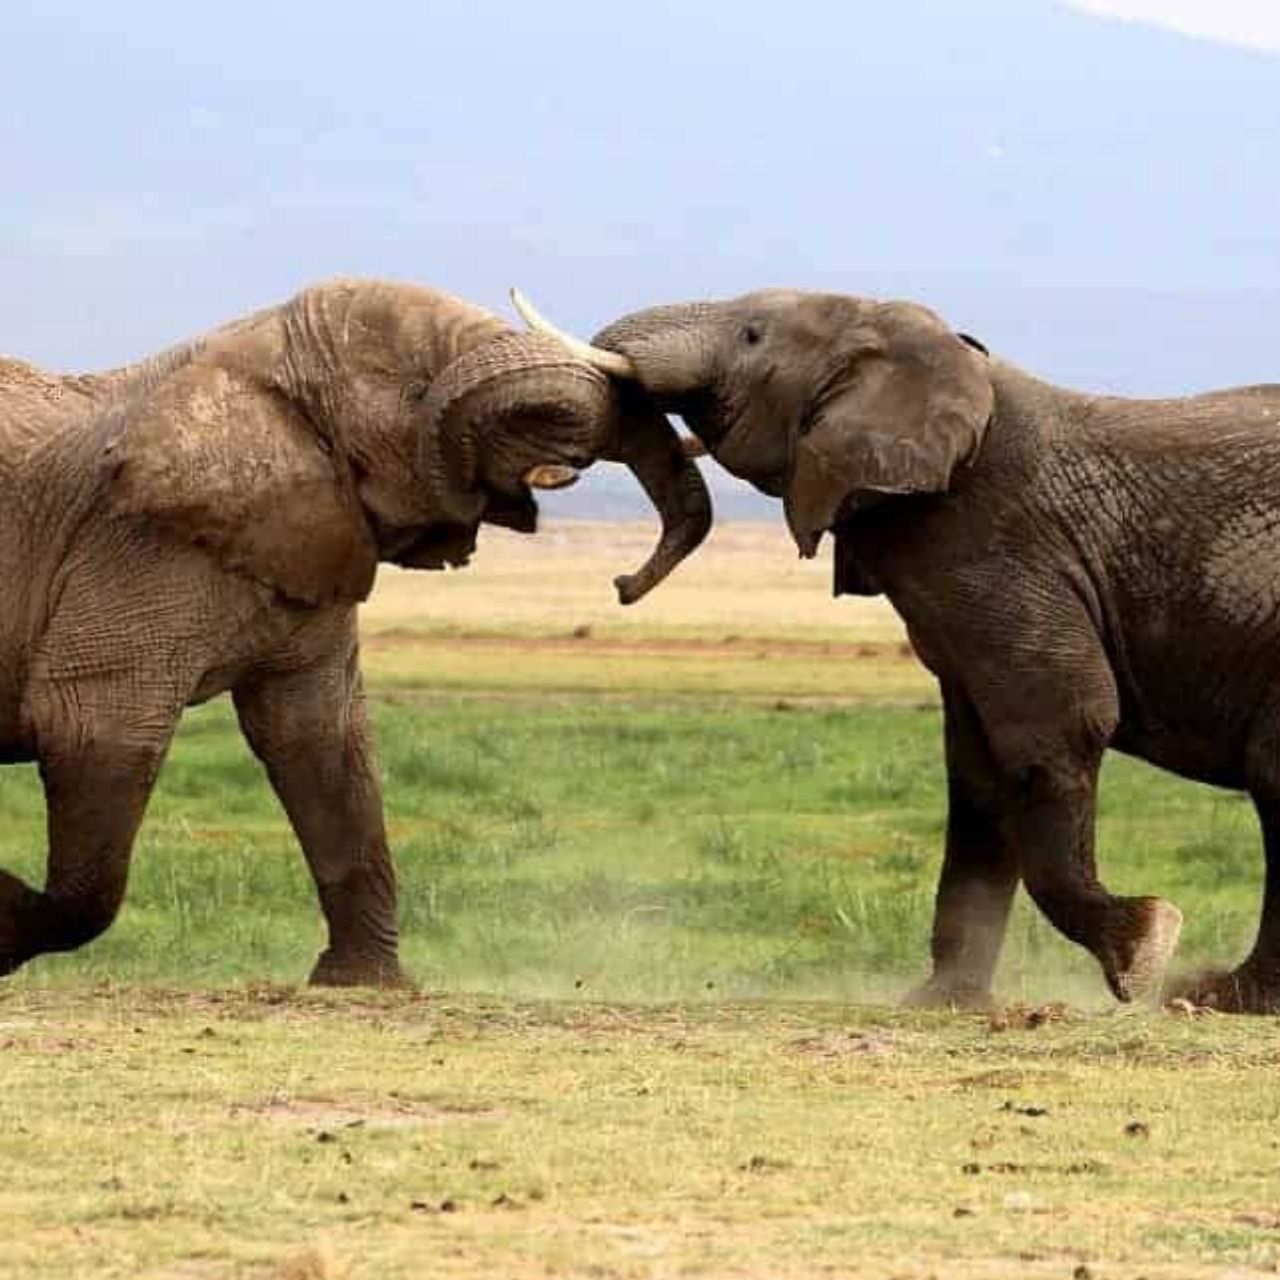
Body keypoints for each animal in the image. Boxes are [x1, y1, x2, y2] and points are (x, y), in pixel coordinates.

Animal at [0, 278, 710, 985]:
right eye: (419, 386)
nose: (621, 584)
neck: (249, 353)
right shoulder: (137, 547)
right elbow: (94, 729)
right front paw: (1, 920)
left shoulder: (316, 539)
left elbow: (321, 740)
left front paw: (362, 982)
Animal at [514, 284, 1280, 1014]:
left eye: (752, 335)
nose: (619, 585)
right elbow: (976, 769)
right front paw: (941, 1002)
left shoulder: (997, 544)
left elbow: (1060, 720)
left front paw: (1145, 950)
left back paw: (1219, 998)